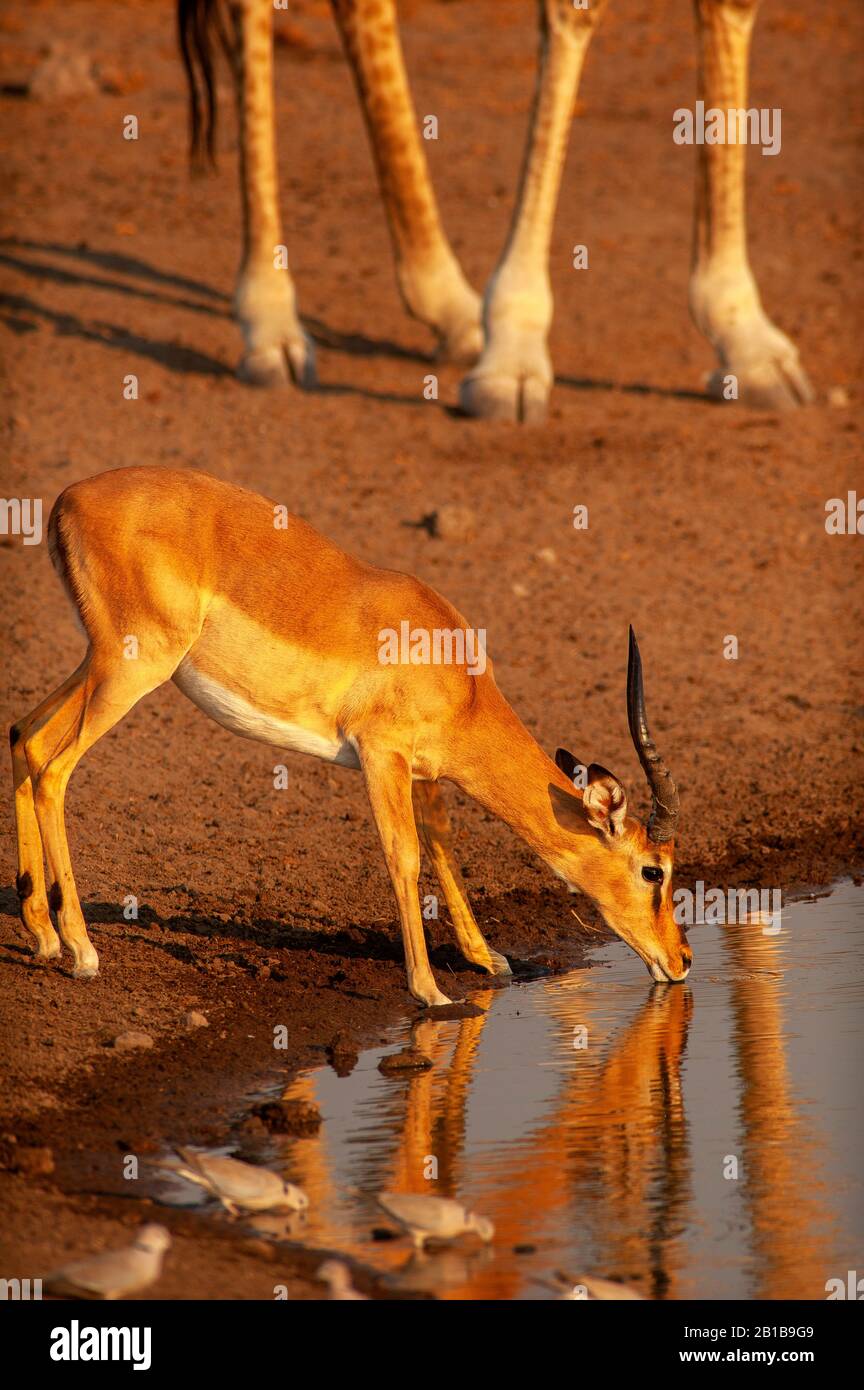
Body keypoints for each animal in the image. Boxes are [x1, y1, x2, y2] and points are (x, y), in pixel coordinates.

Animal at [10, 466, 691, 1004]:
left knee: (25, 735)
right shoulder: (380, 755)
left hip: (101, 663)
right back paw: (82, 953)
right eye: (653, 871)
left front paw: (486, 958)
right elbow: (404, 854)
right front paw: (430, 992)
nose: (681, 960)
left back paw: (42, 937)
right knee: (54, 769)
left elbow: (442, 844)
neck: (460, 680)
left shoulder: (422, 771)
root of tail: (68, 499)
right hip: (132, 669)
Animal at [176, 0, 813, 418]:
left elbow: (731, 4)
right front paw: (514, 344)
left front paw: (744, 335)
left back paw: (449, 303)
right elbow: (576, 12)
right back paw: (271, 318)